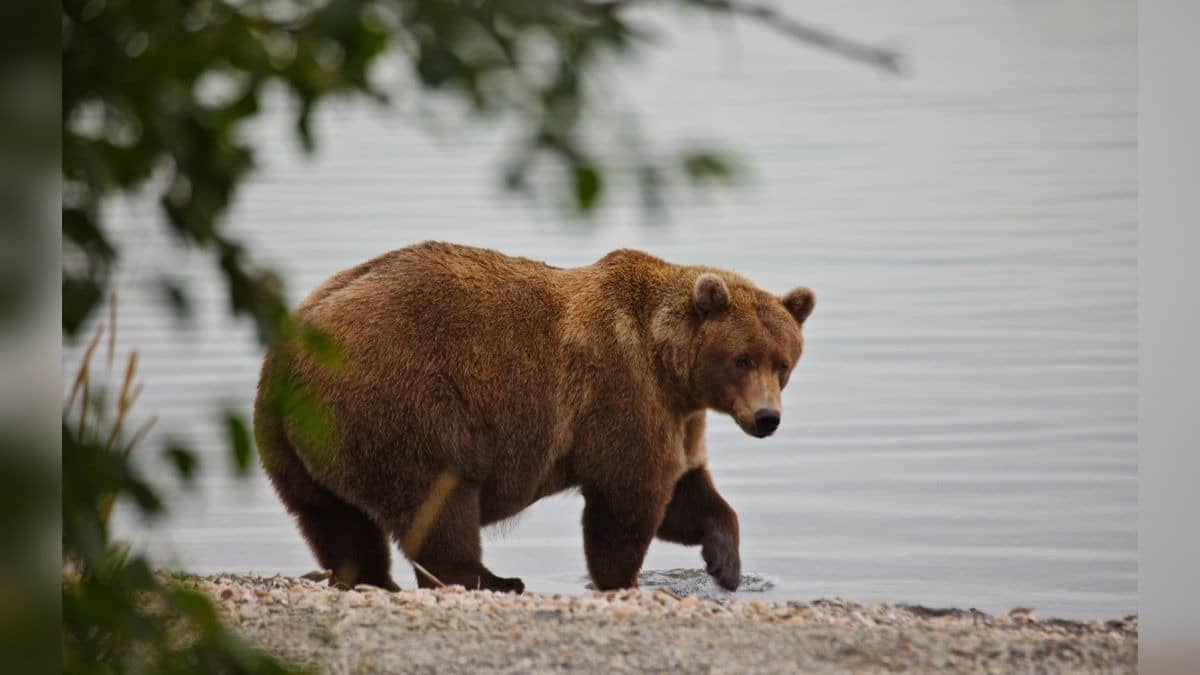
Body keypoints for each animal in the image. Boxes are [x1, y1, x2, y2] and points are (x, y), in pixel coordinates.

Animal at [254, 242, 815, 593]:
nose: (767, 417)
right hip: (402, 403)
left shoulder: (678, 417)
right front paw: (620, 579)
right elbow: (628, 500)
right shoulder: (623, 393)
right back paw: (492, 579)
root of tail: (291, 350)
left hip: (296, 441)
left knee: (332, 517)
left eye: (782, 363)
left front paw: (726, 564)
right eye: (742, 359)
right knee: (438, 499)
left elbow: (688, 494)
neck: (669, 366)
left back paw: (371, 577)